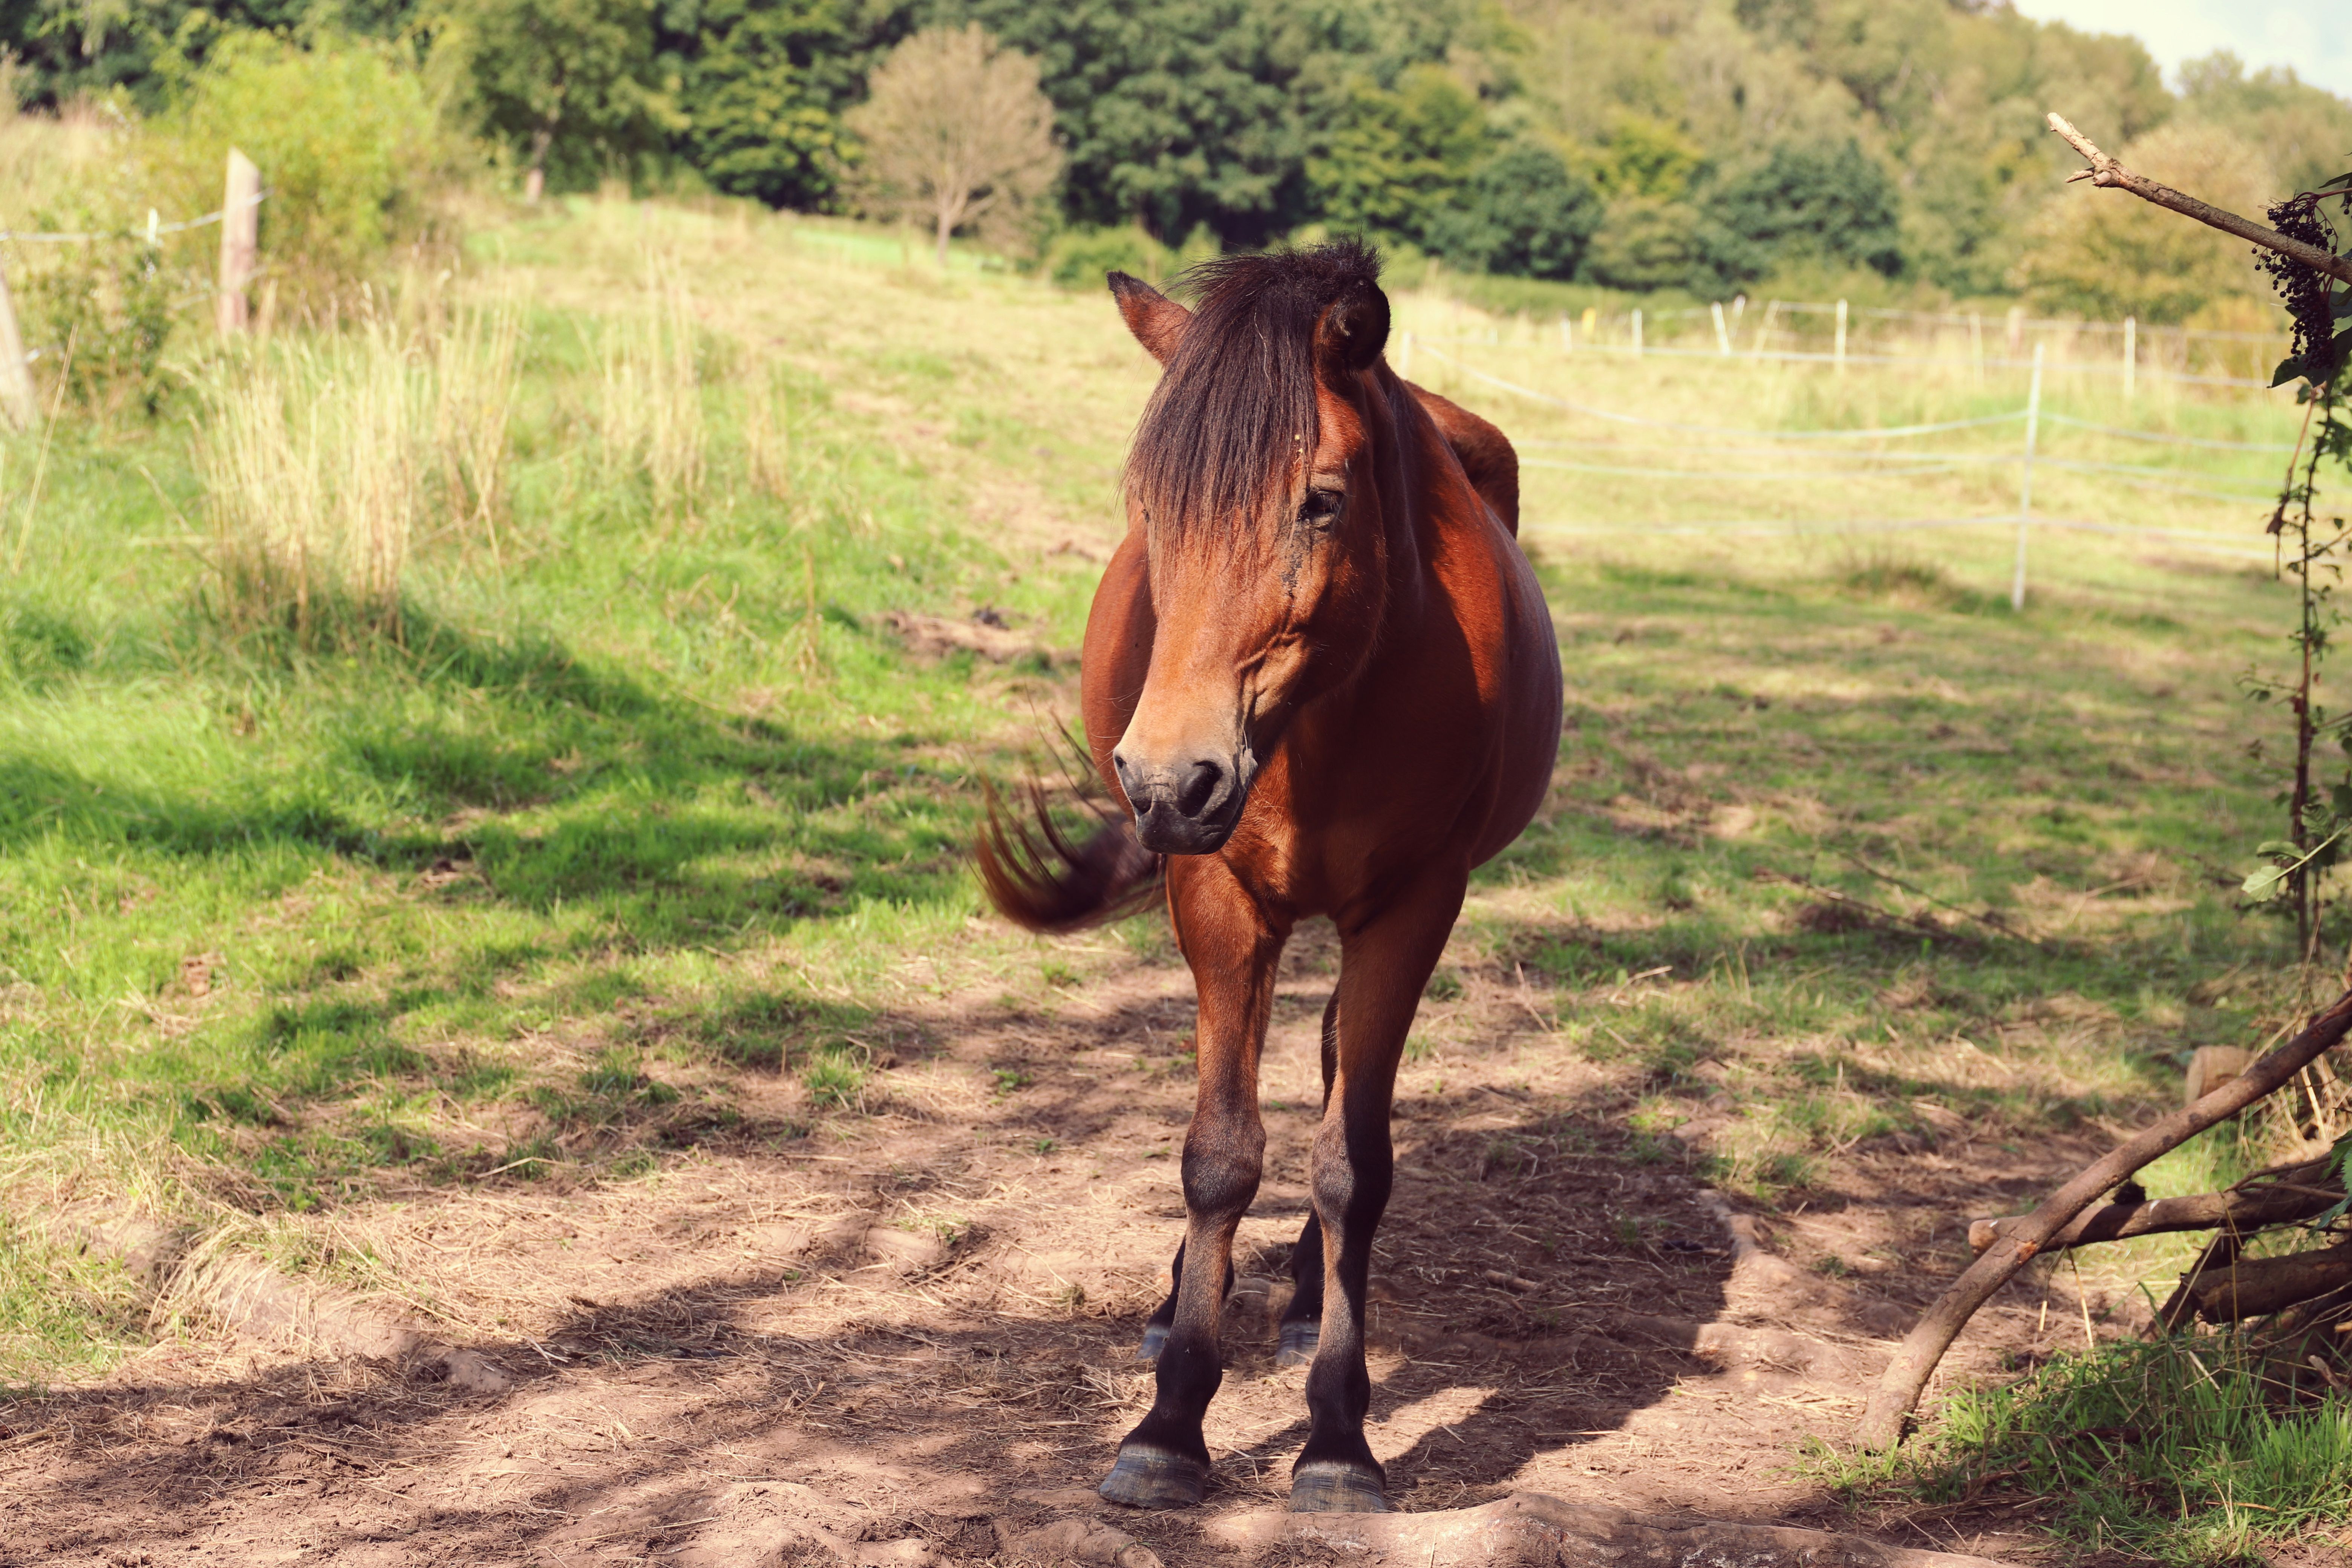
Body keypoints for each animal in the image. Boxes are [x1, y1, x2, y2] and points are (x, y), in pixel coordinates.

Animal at [977, 241, 1561, 1514]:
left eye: (1322, 500)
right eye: (1152, 511)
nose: (1168, 777)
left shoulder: (1412, 906)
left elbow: (1352, 1166)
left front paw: (1338, 1435)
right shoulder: (1221, 899)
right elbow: (1218, 1153)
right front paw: (1169, 1422)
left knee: (1341, 1069)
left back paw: (1301, 1300)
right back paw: (1176, 1303)